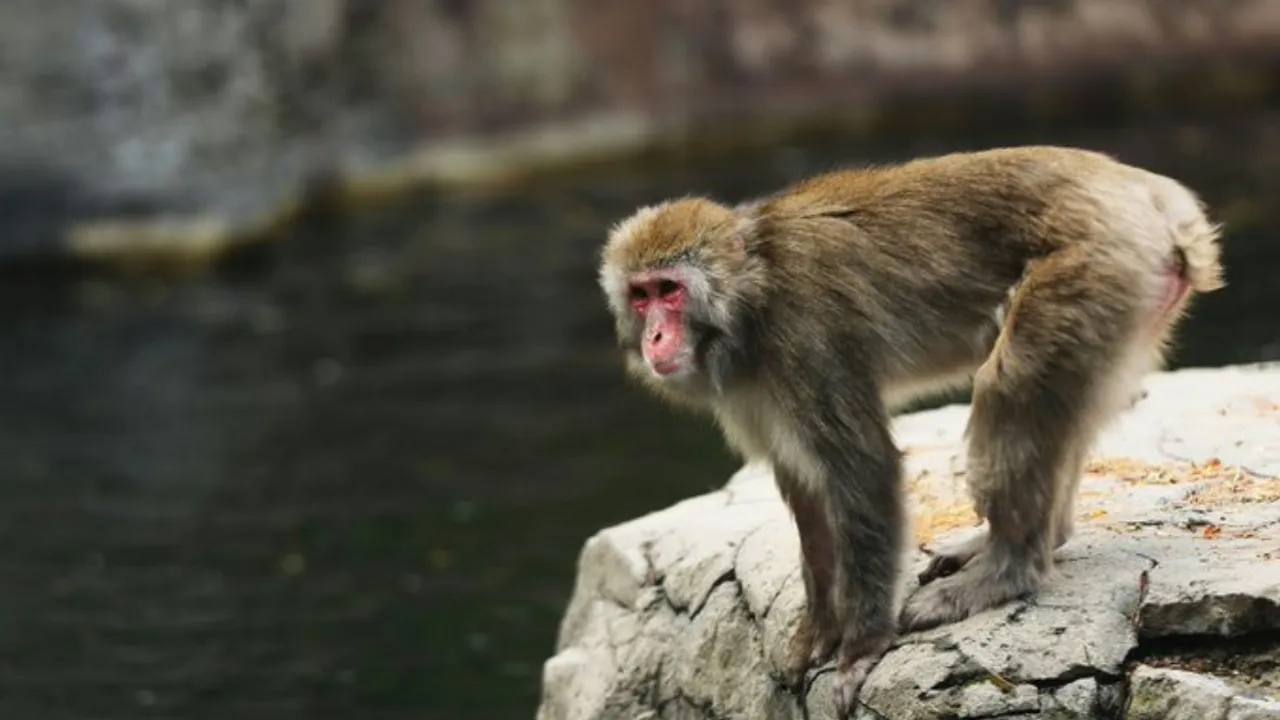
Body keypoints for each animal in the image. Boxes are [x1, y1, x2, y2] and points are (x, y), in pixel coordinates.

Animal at [597, 146, 1224, 717]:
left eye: (670, 290)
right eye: (641, 295)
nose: (654, 337)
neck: (753, 295)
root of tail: (1154, 196)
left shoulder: (806, 335)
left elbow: (862, 471)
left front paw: (861, 648)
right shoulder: (753, 391)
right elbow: (803, 485)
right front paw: (817, 631)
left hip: (1095, 264)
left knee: (1011, 382)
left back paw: (1006, 571)